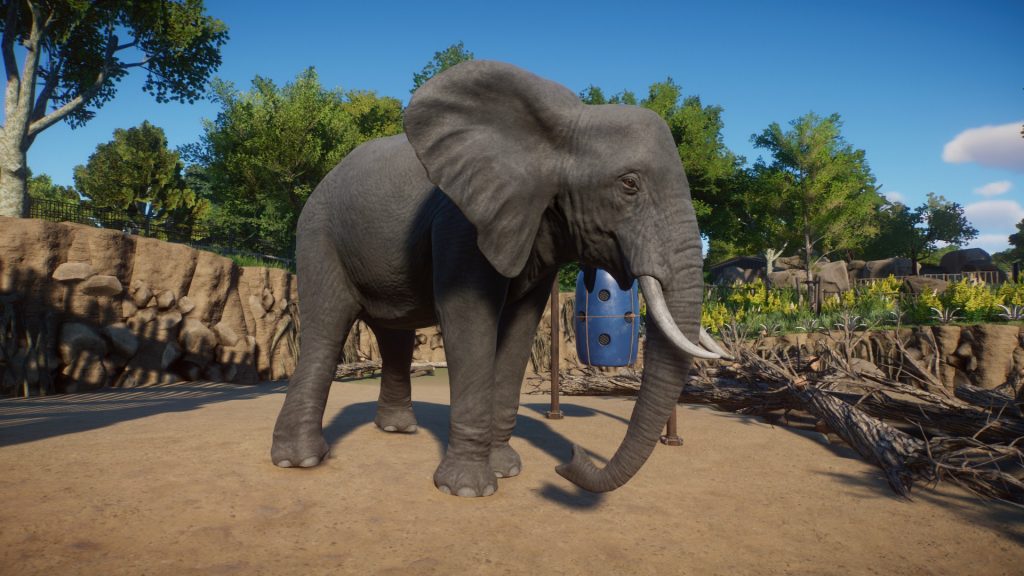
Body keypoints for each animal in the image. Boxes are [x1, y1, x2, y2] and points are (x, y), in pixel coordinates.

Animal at [271, 60, 726, 497]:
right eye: (629, 184)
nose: (568, 462)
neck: (564, 127)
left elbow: (520, 327)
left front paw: (507, 470)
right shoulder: (460, 223)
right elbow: (469, 317)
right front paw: (469, 489)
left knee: (393, 334)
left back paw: (398, 430)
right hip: (319, 236)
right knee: (327, 328)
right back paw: (299, 461)